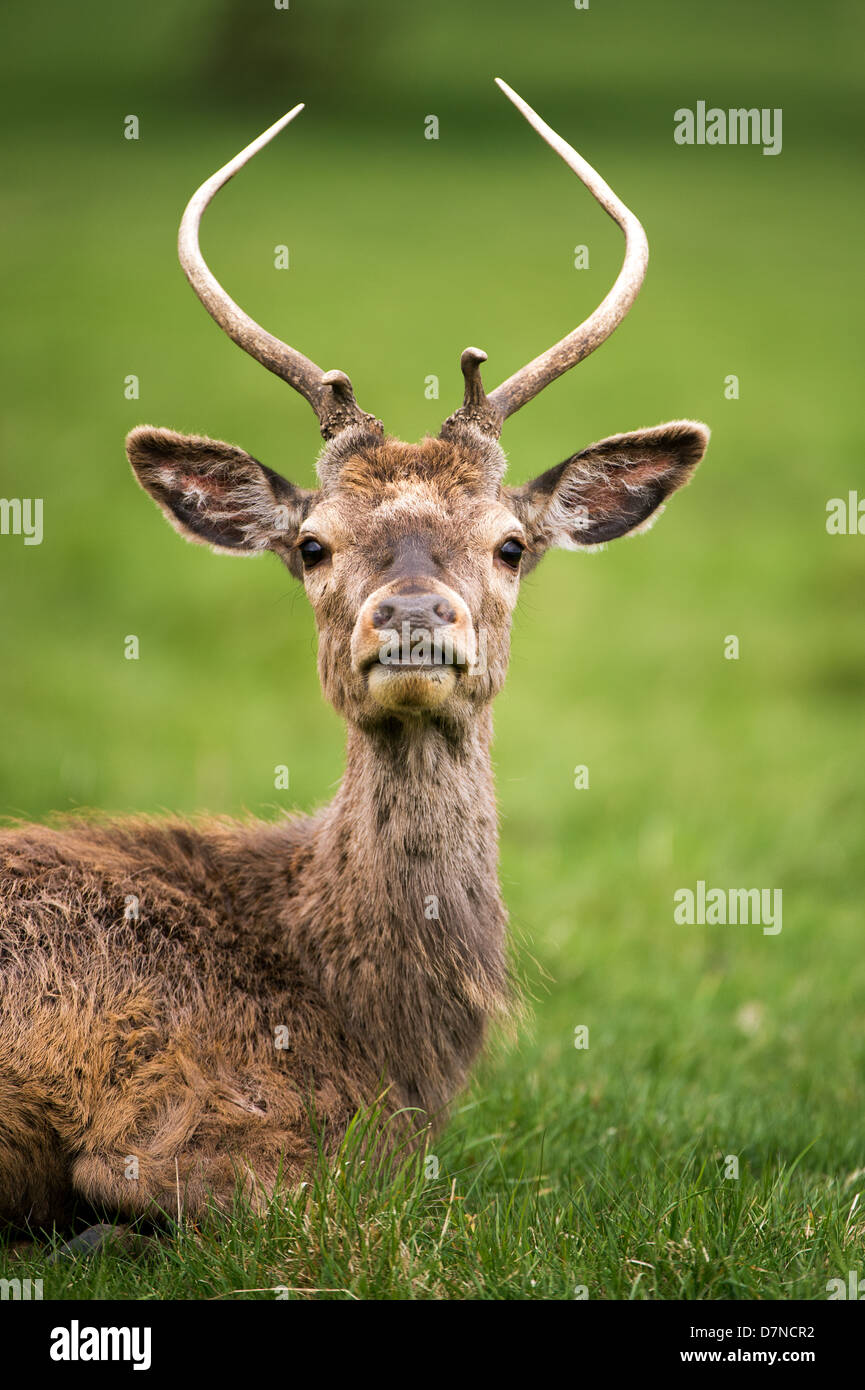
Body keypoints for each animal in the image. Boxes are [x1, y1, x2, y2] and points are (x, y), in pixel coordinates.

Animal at [0, 80, 708, 1244]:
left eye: (510, 544)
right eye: (311, 544)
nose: (414, 615)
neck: (380, 1042)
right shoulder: (188, 1126)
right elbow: (148, 1194)